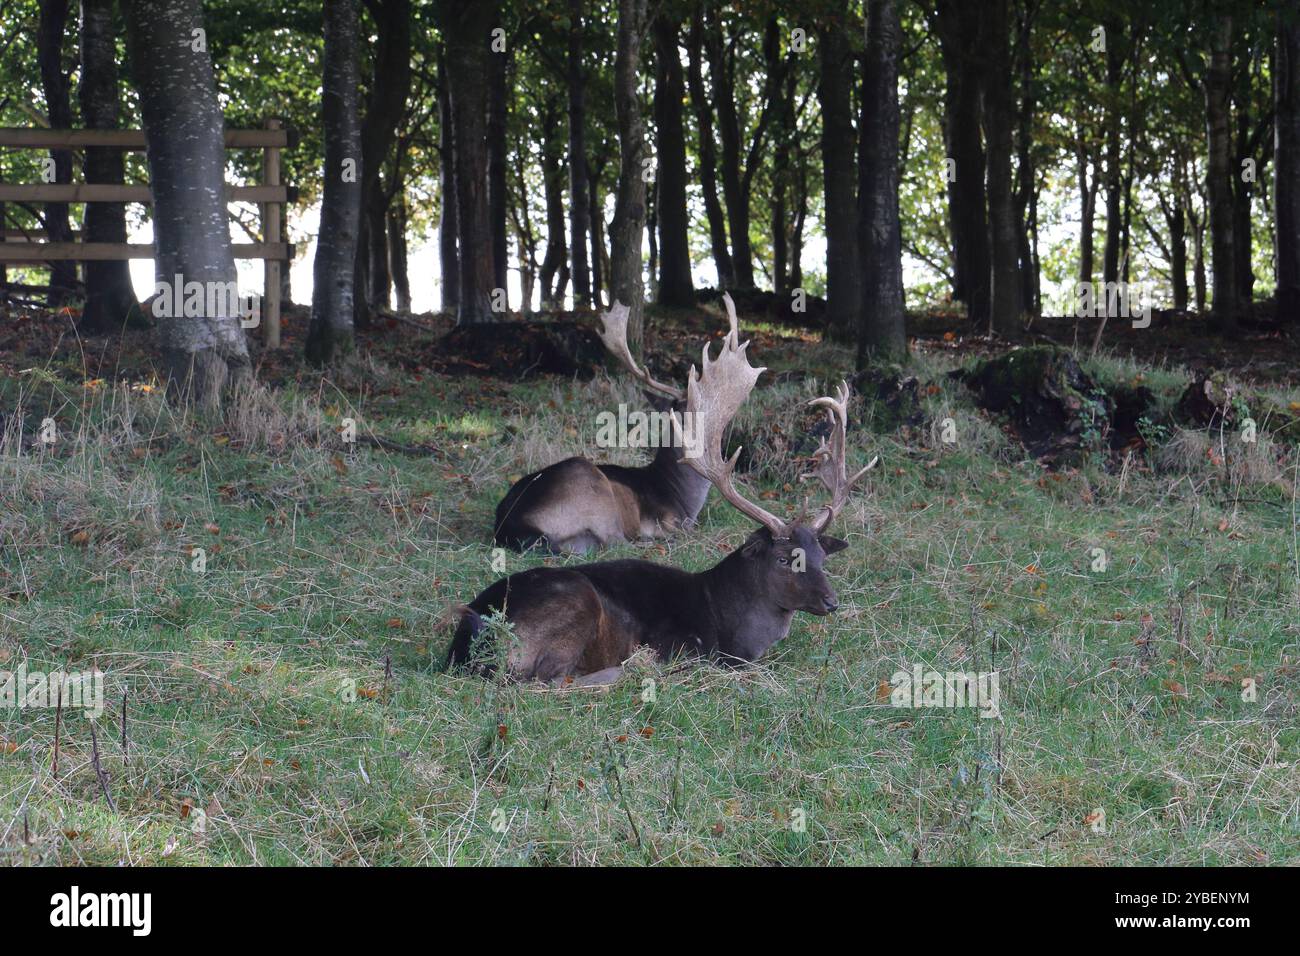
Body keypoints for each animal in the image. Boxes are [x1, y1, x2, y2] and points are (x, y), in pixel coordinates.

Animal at [492, 297, 736, 555]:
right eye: (678, 416)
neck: (682, 500)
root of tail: (512, 527)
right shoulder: (664, 521)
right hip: (595, 492)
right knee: (616, 541)